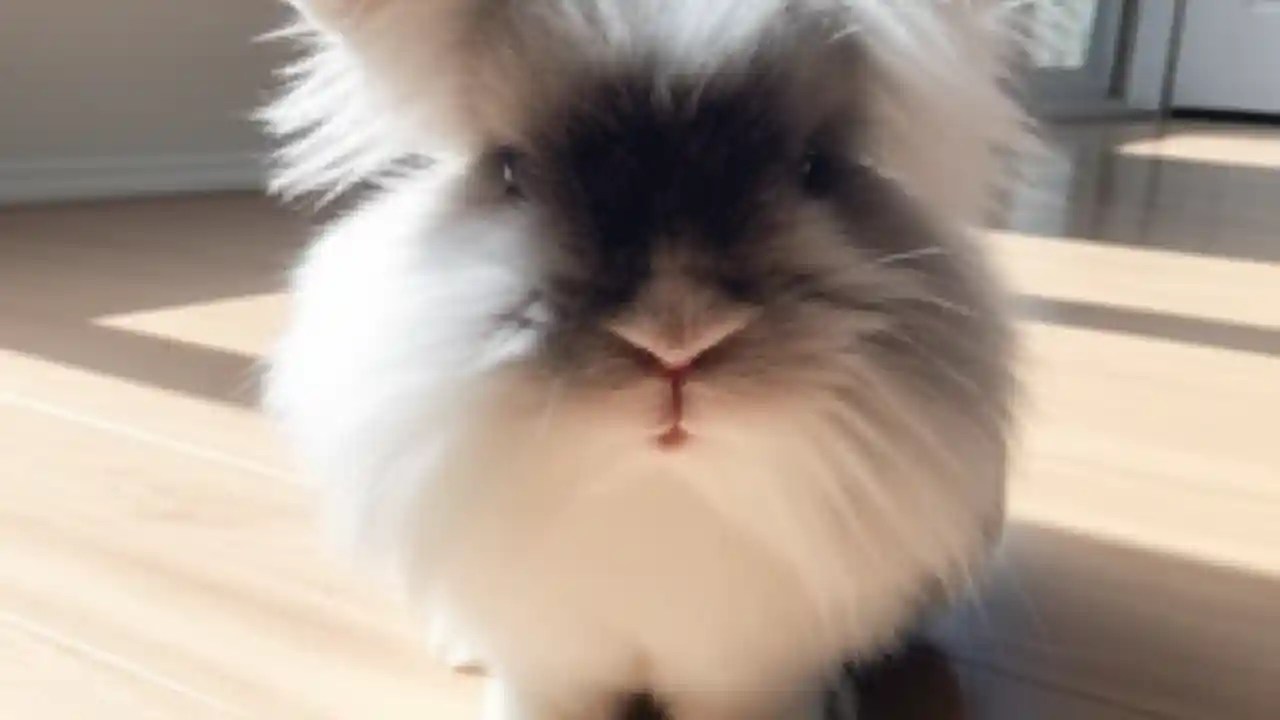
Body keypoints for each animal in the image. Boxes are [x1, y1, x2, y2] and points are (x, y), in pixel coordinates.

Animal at [264, 2, 1025, 719]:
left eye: (816, 167)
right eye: (510, 170)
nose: (676, 340)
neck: (657, 492)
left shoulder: (753, 677)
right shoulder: (548, 666)